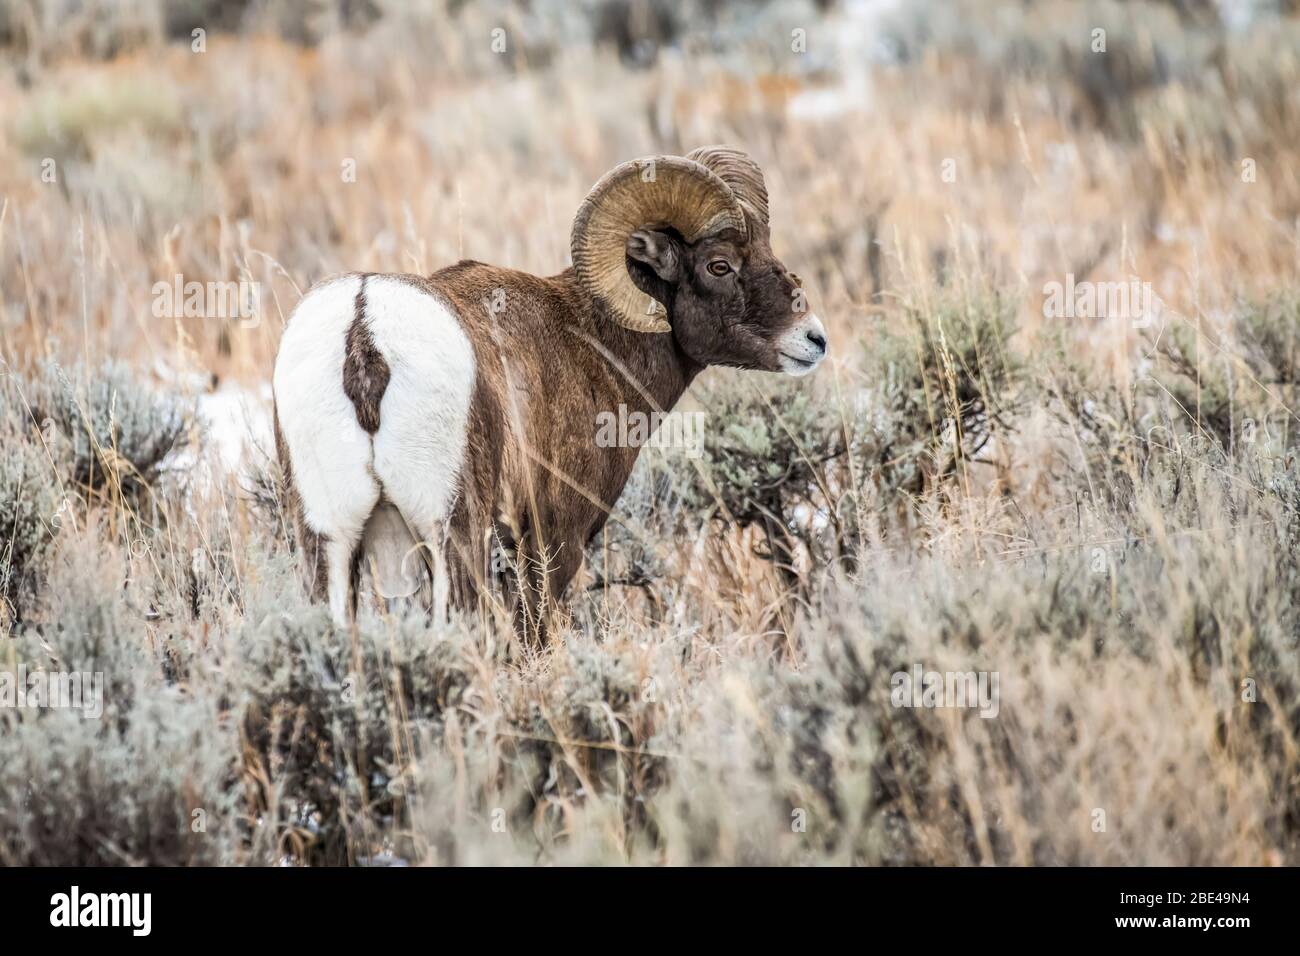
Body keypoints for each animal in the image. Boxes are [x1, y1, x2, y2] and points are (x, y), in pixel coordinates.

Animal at [272, 146, 829, 634]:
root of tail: (364, 330)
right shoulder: (553, 543)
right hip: (450, 533)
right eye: (719, 264)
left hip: (331, 537)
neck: (592, 343)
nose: (814, 339)